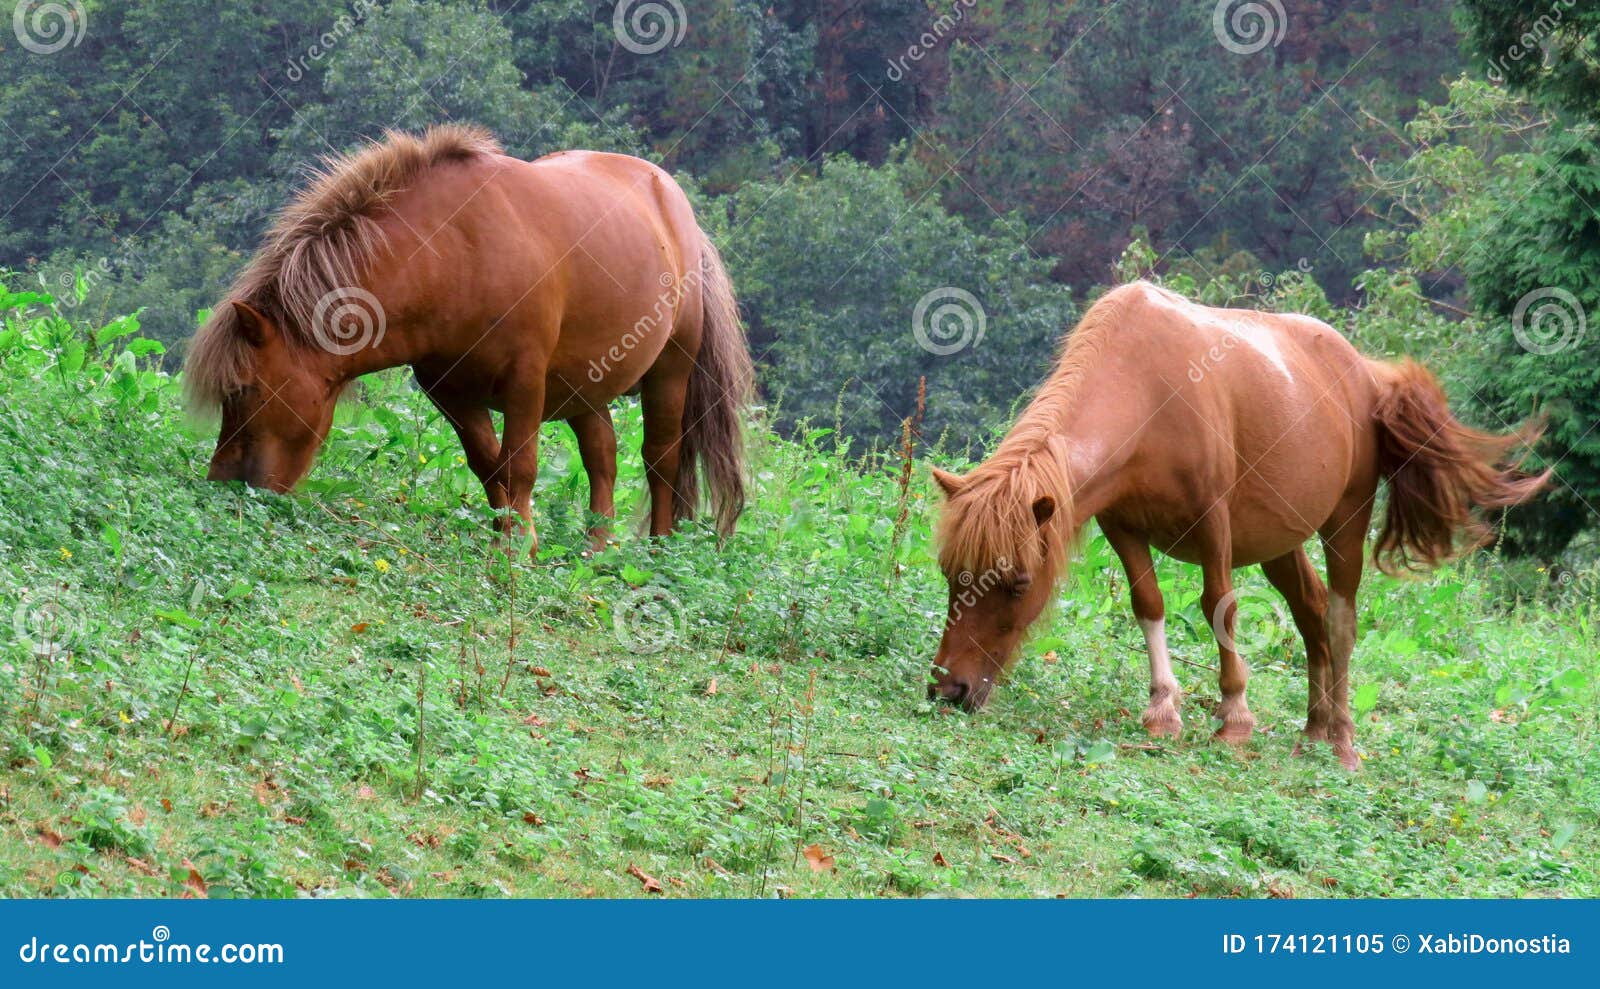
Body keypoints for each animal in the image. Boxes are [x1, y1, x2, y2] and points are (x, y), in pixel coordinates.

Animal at [184, 125, 753, 551]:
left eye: (244, 391)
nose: (221, 483)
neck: (457, 251)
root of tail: (677, 208)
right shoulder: (450, 391)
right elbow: (487, 465)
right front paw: (509, 538)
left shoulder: (525, 383)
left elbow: (520, 466)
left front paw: (516, 550)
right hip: (585, 385)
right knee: (603, 458)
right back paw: (596, 551)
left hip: (670, 371)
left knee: (661, 461)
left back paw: (658, 551)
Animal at [928, 281, 1546, 769]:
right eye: (951, 574)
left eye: (1018, 585)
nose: (950, 688)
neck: (1147, 387)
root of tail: (1368, 376)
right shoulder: (1121, 525)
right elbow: (1148, 603)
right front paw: (1163, 709)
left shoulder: (1213, 522)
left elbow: (1218, 606)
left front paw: (1234, 719)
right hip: (1279, 542)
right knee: (1311, 611)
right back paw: (1313, 731)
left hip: (1344, 522)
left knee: (1341, 619)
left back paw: (1342, 742)